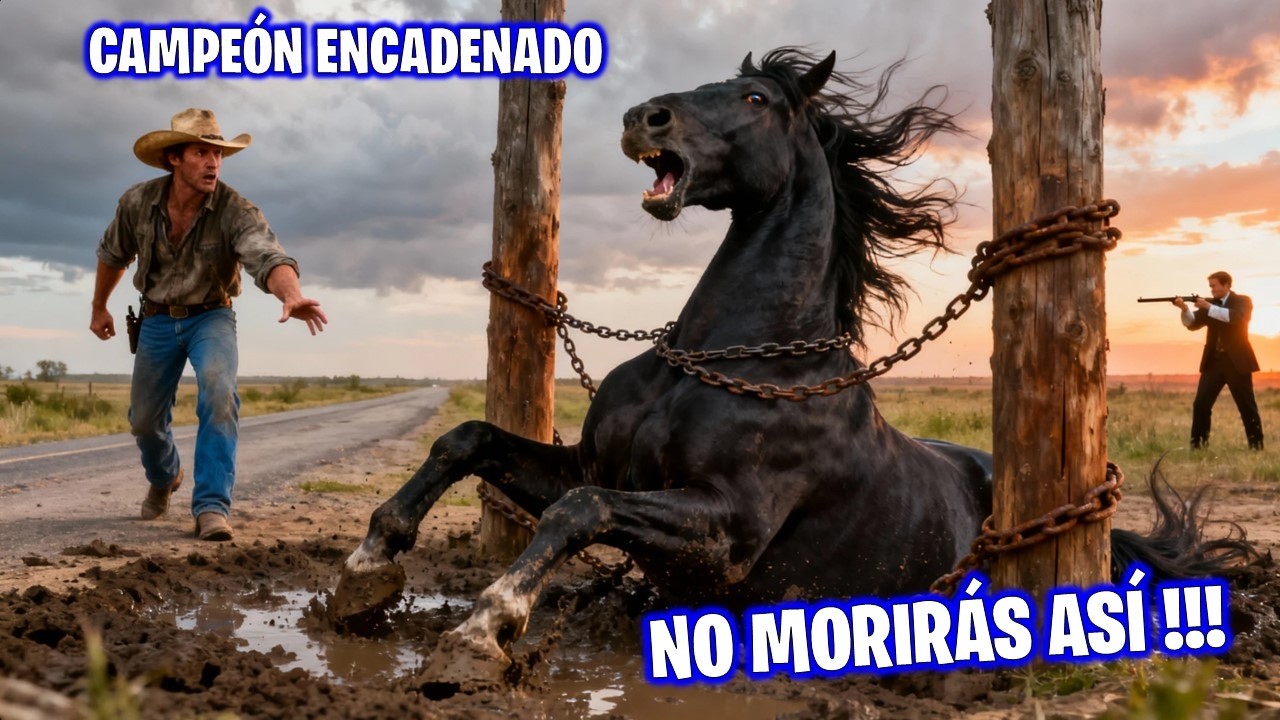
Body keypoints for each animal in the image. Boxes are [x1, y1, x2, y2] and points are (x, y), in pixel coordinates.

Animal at [335, 48, 1248, 689]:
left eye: (755, 100)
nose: (642, 118)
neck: (723, 360)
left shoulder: (728, 531)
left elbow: (577, 512)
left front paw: (482, 629)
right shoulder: (591, 463)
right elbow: (469, 440)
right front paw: (367, 570)